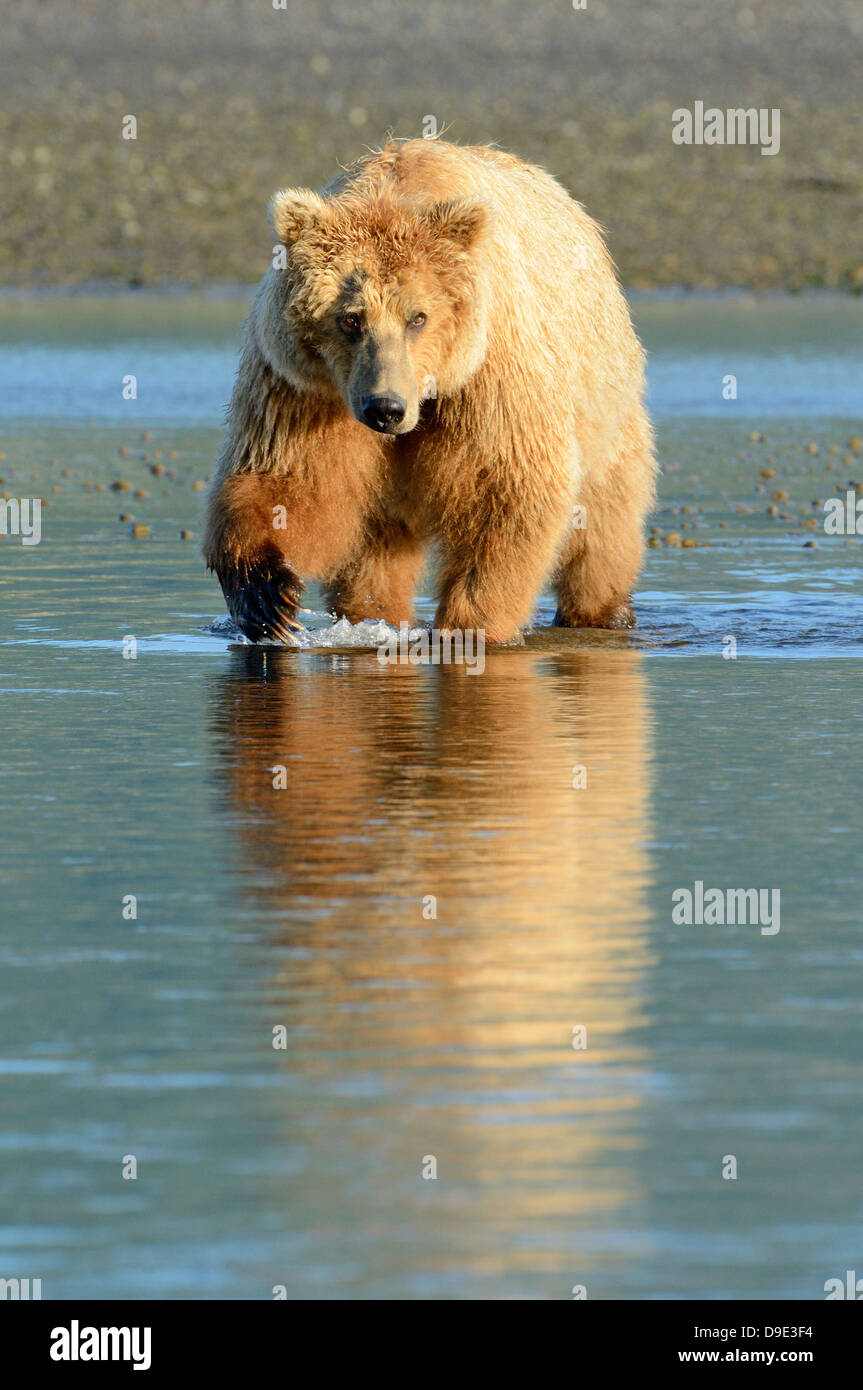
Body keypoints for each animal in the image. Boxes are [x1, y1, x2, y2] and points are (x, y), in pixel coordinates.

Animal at [203, 137, 656, 643]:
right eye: (350, 318)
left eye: (417, 317)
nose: (385, 408)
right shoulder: (305, 388)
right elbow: (287, 476)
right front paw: (267, 595)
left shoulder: (490, 374)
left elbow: (507, 489)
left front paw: (470, 625)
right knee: (374, 554)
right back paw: (377, 615)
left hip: (604, 400)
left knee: (604, 519)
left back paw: (603, 611)